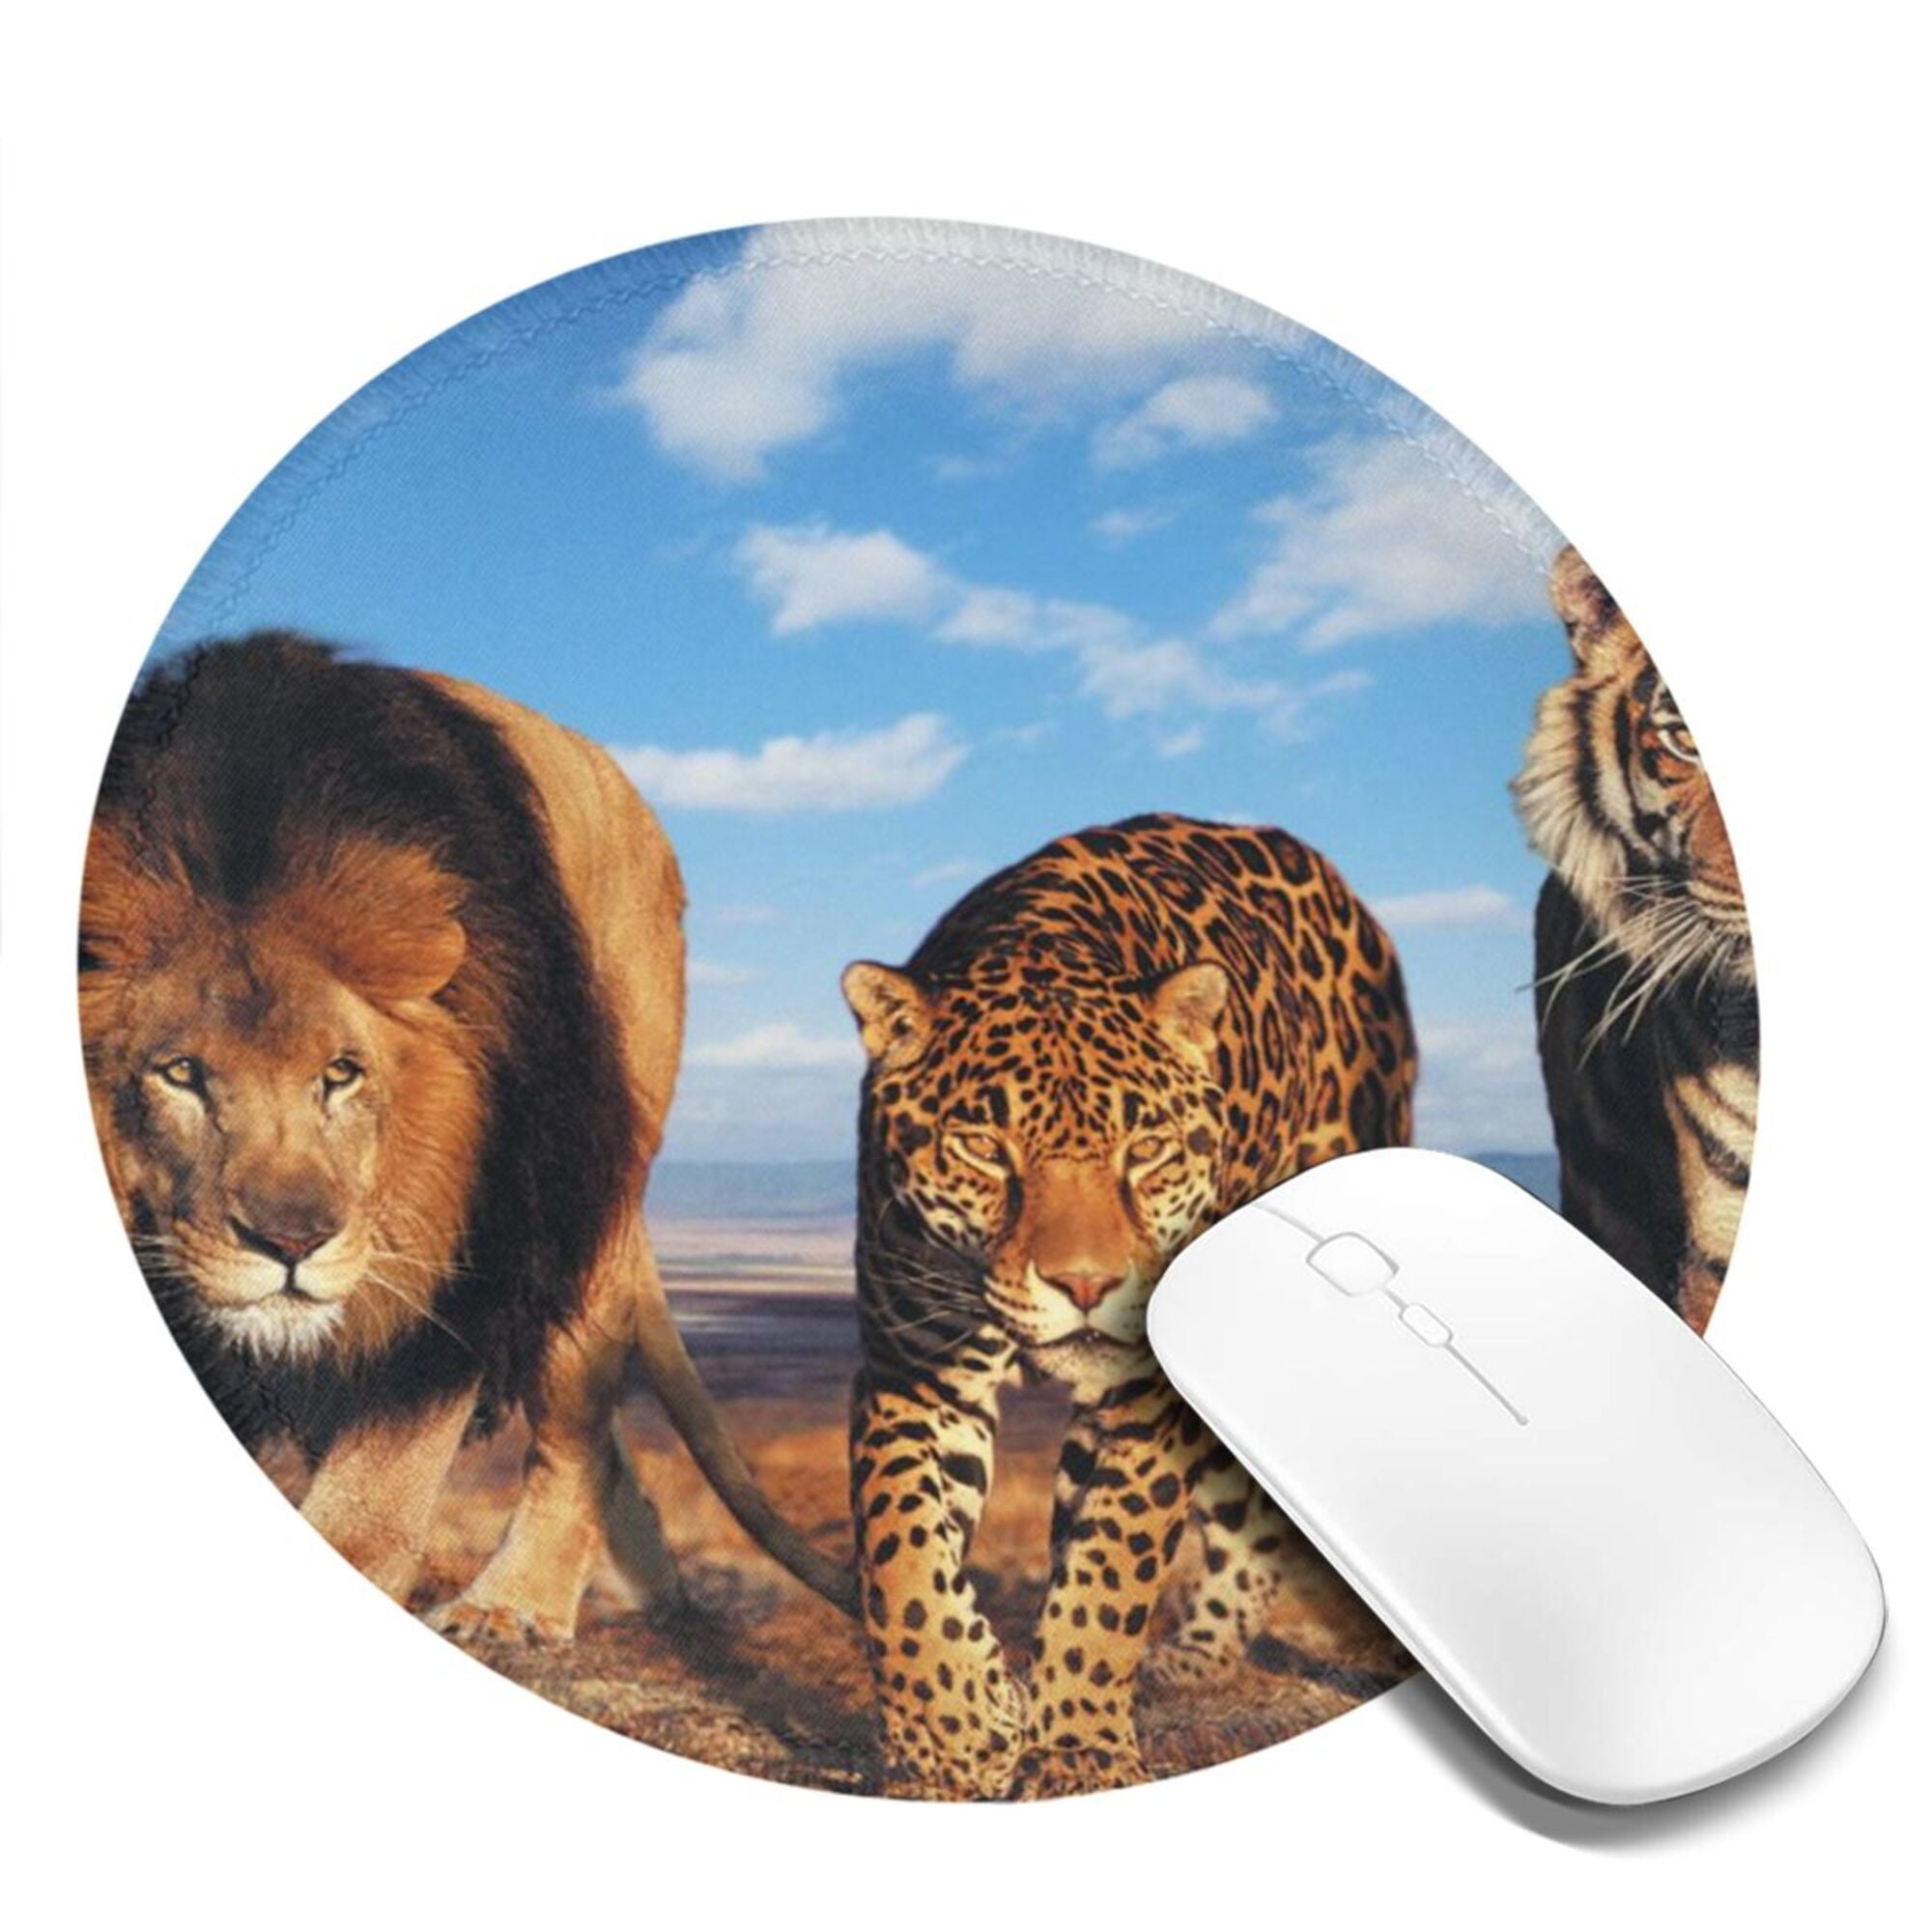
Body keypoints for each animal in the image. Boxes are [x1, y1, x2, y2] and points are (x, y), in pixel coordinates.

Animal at [80, 634, 856, 1637]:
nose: (294, 1242)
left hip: (596, 1180)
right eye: (179, 1073)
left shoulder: (470, 1246)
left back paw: (517, 1604)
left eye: (342, 1073)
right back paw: (649, 1586)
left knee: (573, 1432)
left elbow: (368, 1511)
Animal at [838, 813, 1416, 1798]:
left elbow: (1114, 1566)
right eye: (985, 1148)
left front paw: (1076, 1751)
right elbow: (904, 1552)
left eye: (1144, 1148)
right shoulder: (913, 1368)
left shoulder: (1150, 1393)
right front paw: (954, 1734)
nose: (1084, 1286)